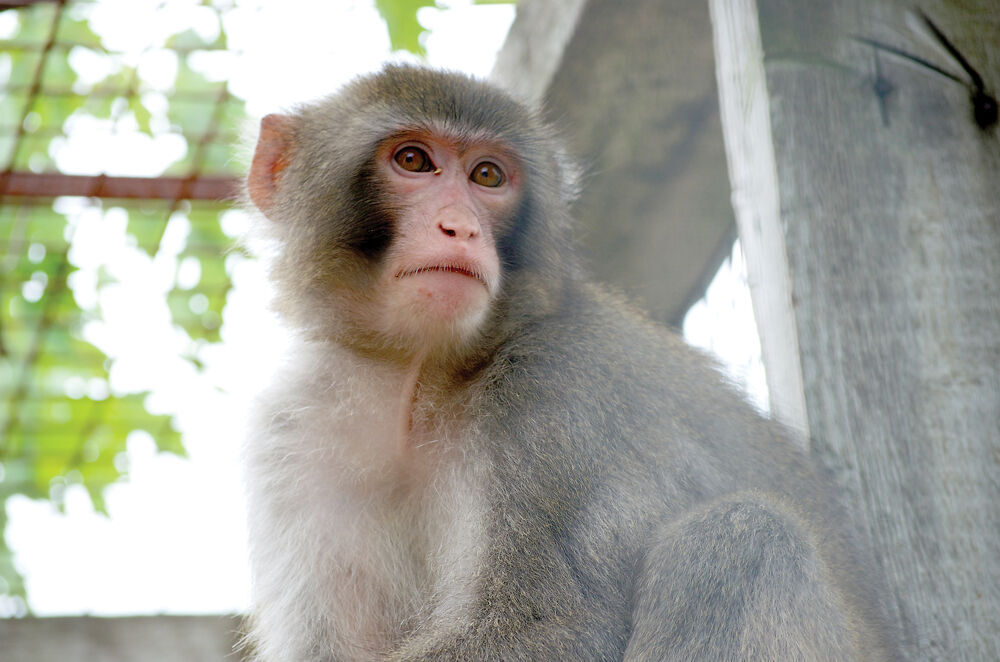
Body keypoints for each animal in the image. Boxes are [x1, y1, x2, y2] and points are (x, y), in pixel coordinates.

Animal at [241, 64, 899, 661]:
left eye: (487, 175)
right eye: (412, 160)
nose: (461, 227)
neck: (422, 379)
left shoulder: (552, 394)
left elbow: (552, 627)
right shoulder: (294, 436)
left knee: (743, 540)